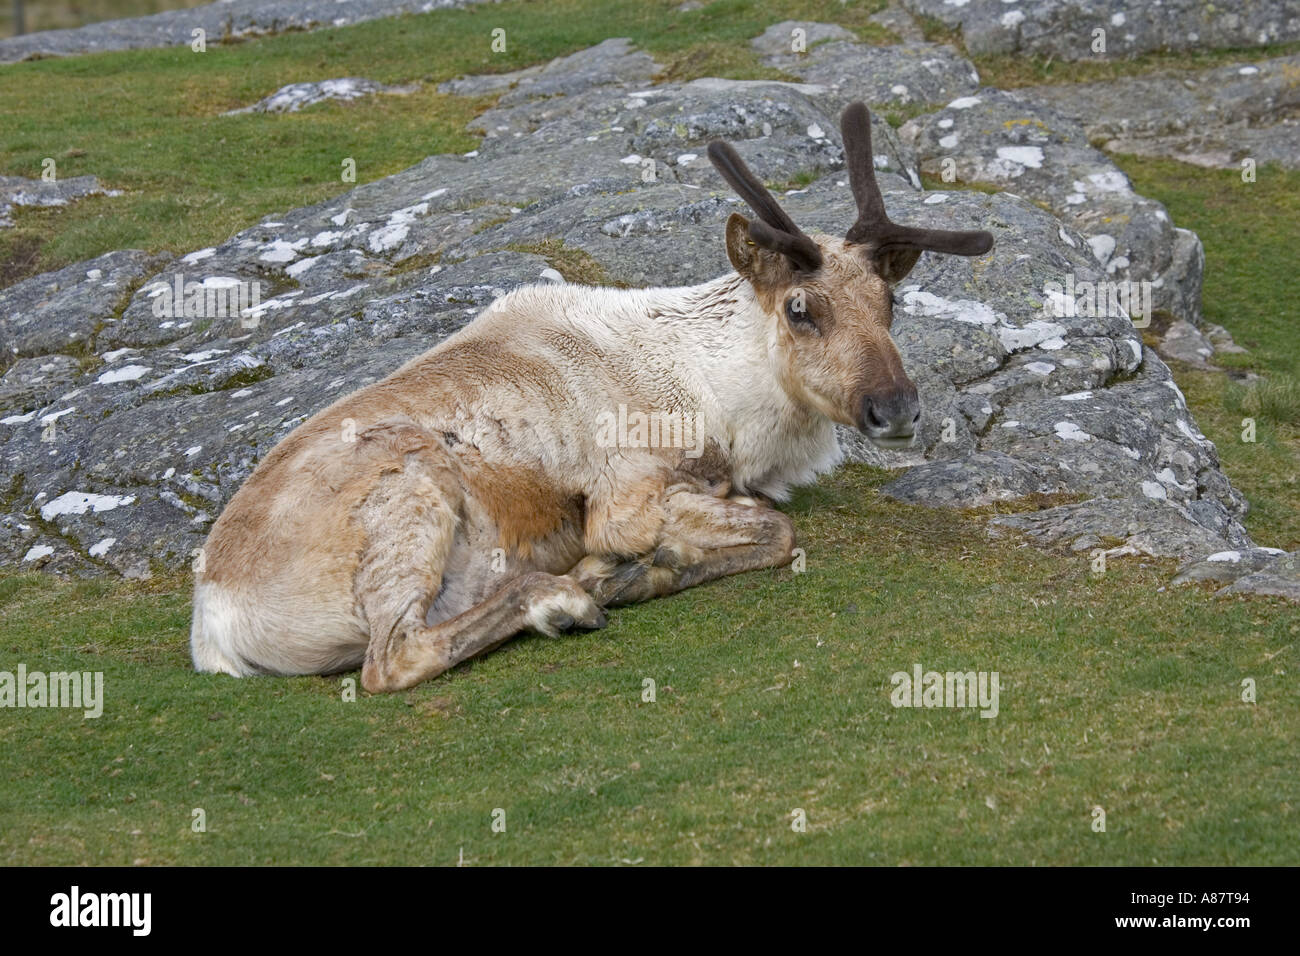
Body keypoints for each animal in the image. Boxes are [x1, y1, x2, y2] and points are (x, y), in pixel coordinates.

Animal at [190, 102, 993, 693]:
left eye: (890, 301)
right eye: (801, 308)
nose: (897, 409)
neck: (717, 393)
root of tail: (213, 624)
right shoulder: (629, 498)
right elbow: (776, 531)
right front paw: (633, 571)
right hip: (408, 481)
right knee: (392, 658)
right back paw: (567, 598)